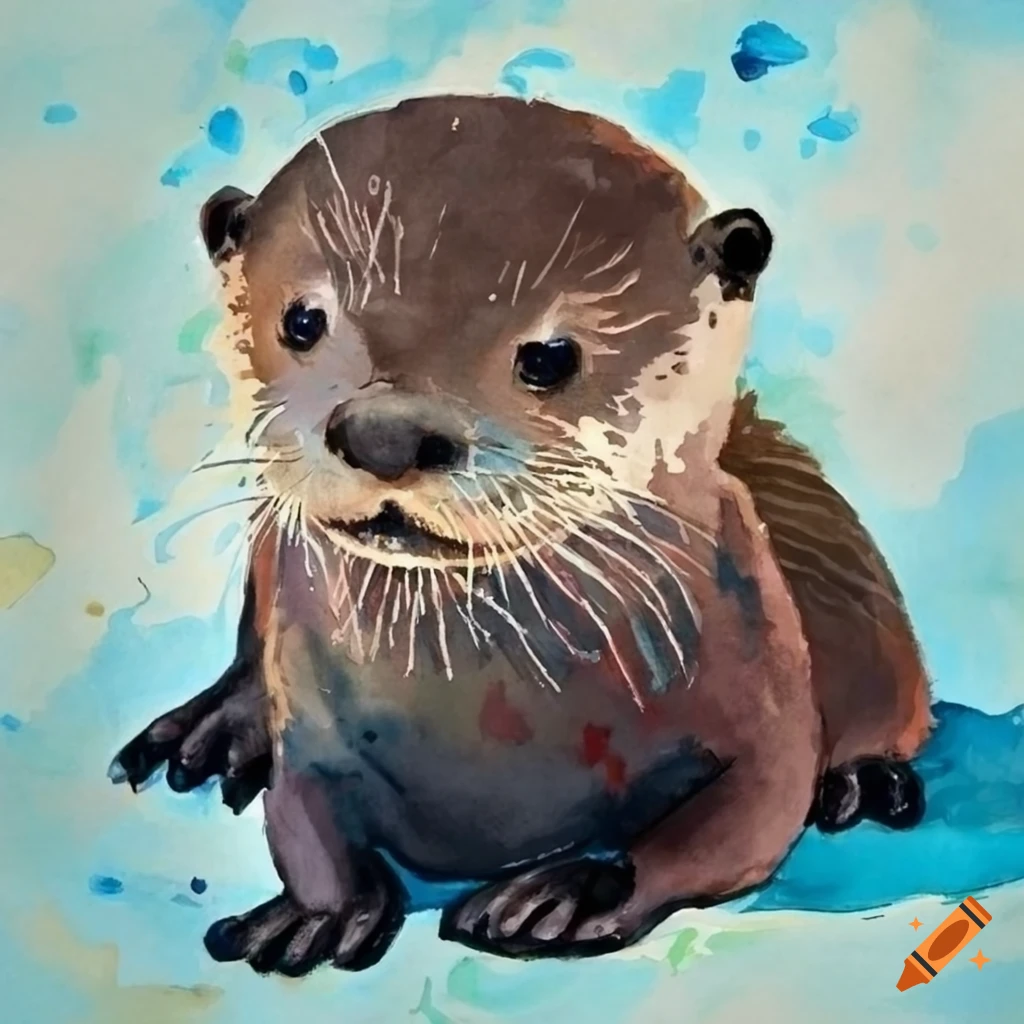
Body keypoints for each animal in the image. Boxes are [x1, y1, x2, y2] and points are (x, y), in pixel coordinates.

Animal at [110, 95, 931, 975]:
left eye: (549, 356)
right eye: (303, 320)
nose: (386, 433)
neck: (488, 728)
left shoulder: (764, 681)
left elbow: (756, 808)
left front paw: (569, 890)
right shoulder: (307, 718)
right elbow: (300, 813)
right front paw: (314, 915)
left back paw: (867, 780)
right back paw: (216, 727)